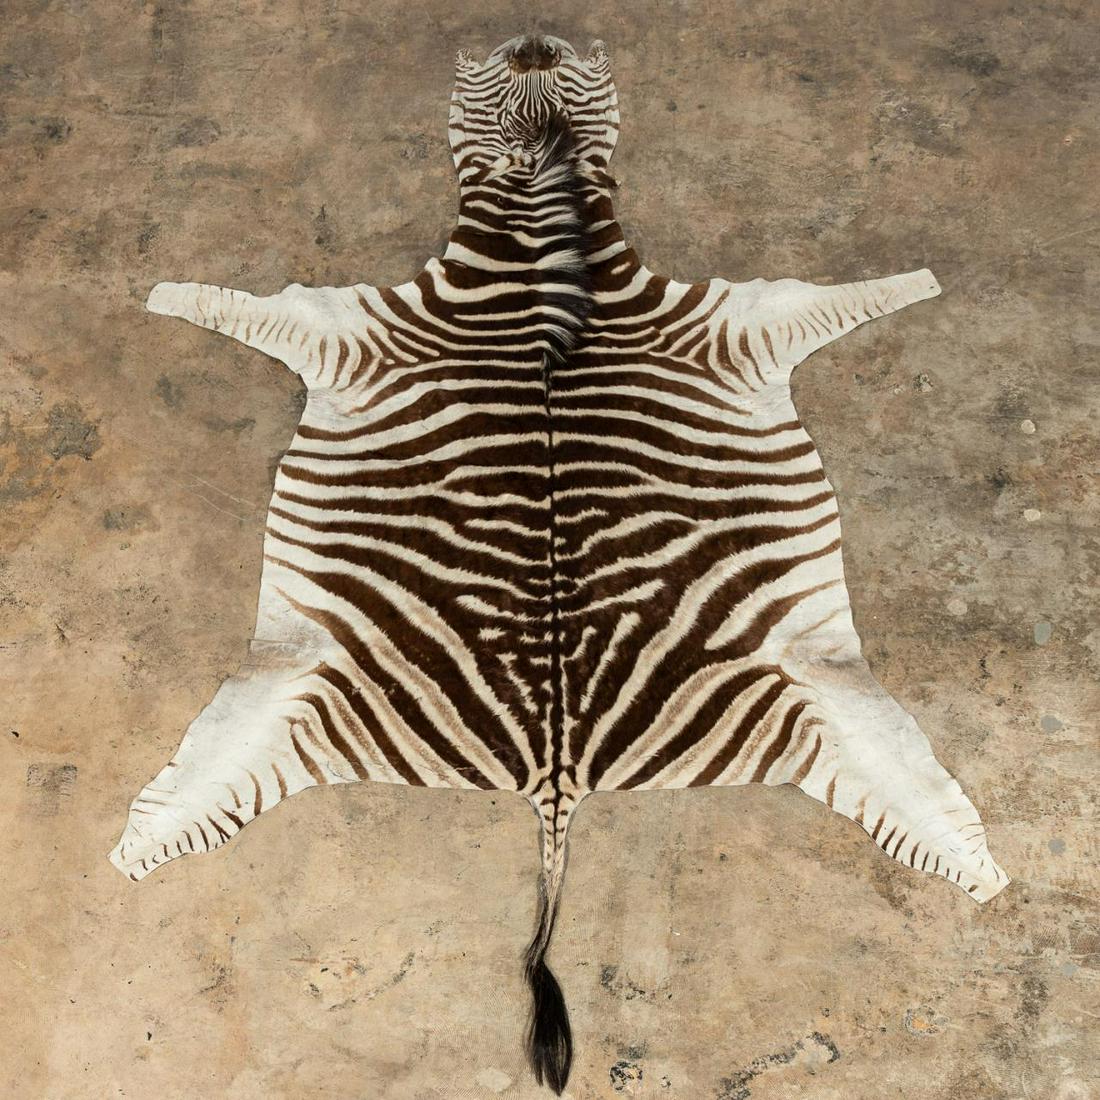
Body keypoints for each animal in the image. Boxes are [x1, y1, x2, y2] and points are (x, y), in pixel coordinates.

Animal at [110, 33, 1009, 1094]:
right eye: (506, 73)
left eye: (559, 66)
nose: (534, 40)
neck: (541, 231)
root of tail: (555, 776)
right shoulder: (362, 330)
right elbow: (242, 303)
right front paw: (164, 292)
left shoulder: (730, 321)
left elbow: (845, 292)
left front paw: (920, 278)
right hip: (306, 684)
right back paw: (130, 855)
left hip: (802, 689)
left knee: (917, 799)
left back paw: (987, 873)